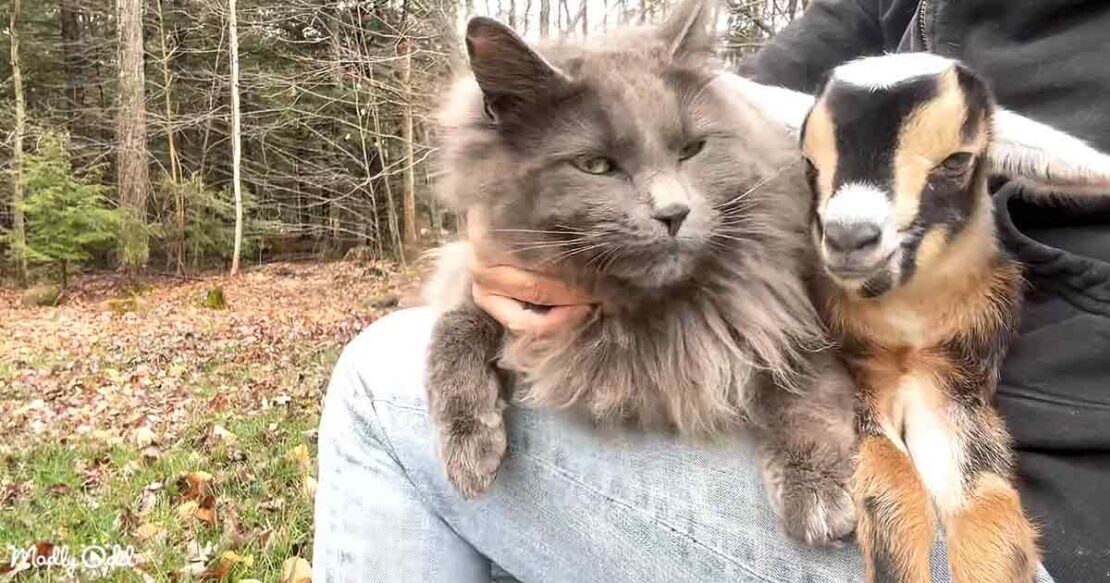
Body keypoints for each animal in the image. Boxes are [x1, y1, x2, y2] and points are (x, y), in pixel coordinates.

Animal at [724, 53, 1110, 582]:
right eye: (809, 162)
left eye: (957, 161)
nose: (849, 238)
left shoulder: (952, 390)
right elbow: (895, 484)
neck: (908, 329)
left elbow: (987, 511)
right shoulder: (862, 383)